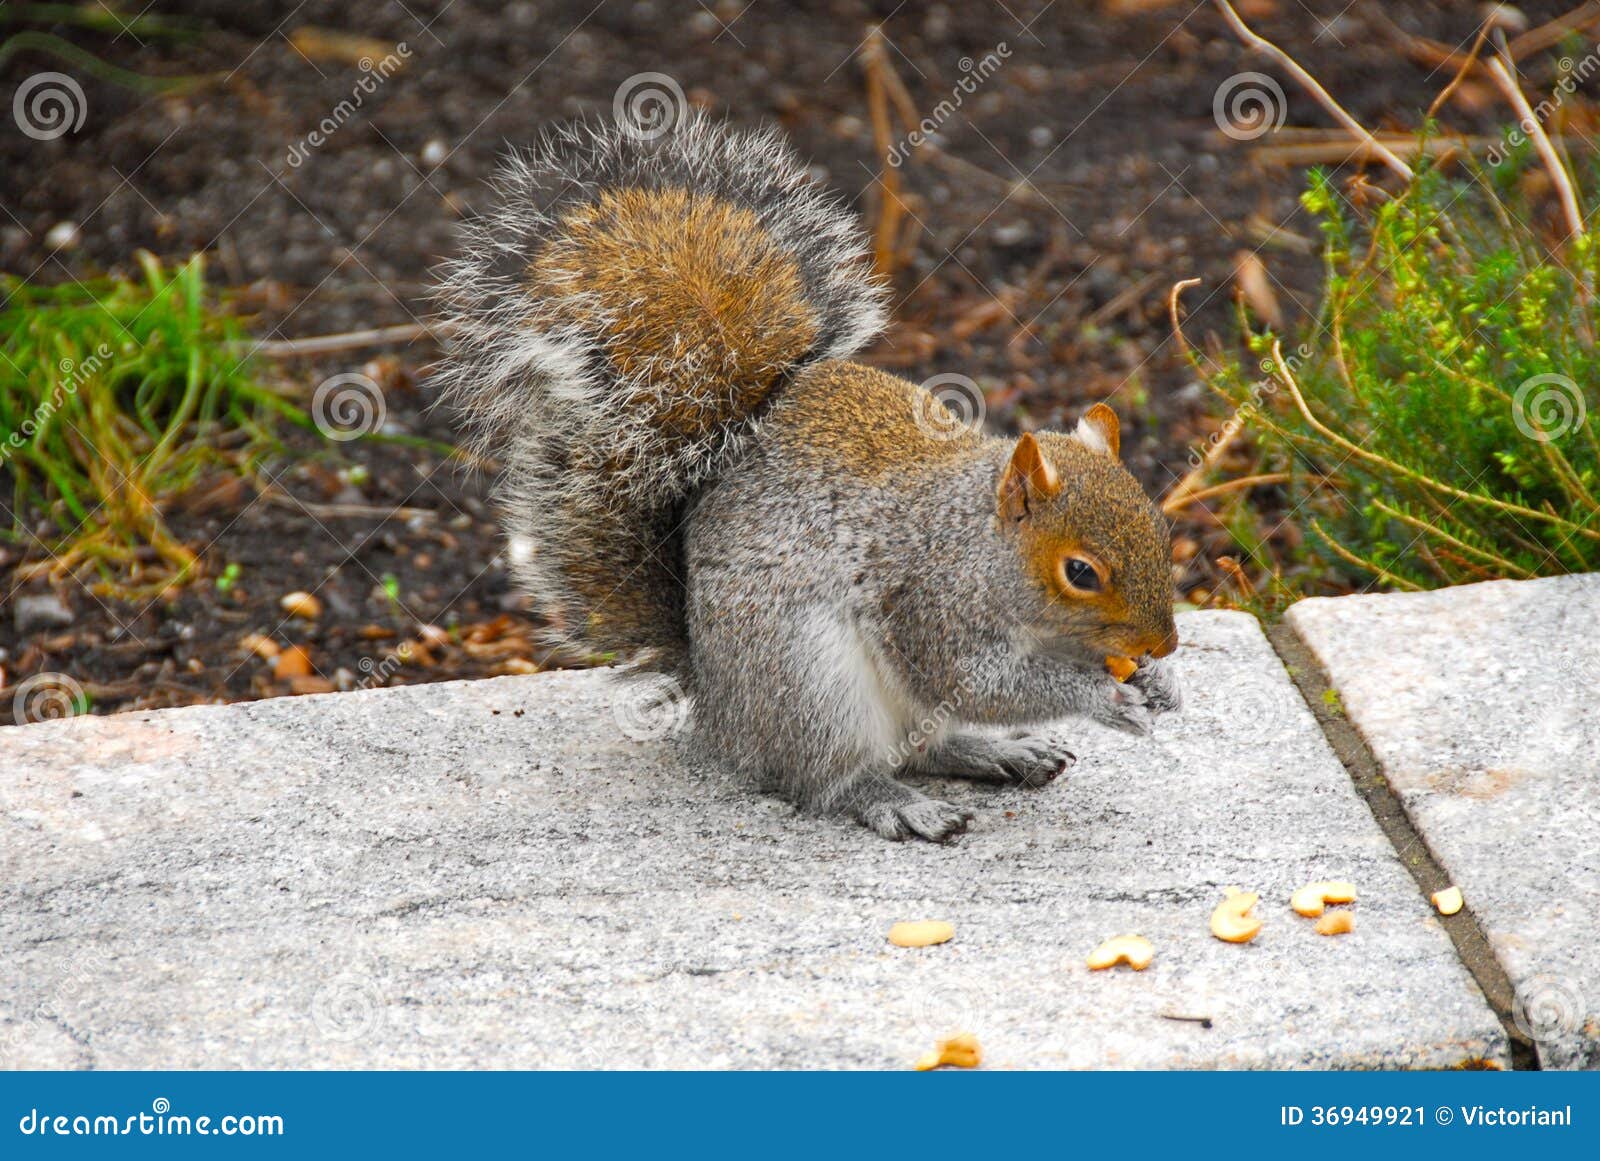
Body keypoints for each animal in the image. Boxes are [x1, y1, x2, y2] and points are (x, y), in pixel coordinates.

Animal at [432, 112, 1181, 842]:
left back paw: (996, 752)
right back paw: (896, 800)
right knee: (830, 778)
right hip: (812, 684)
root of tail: (720, 703)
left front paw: (1162, 680)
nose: (1165, 642)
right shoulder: (931, 606)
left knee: (925, 745)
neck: (982, 548)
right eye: (1080, 572)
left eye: (1160, 529)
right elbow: (982, 682)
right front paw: (1105, 698)